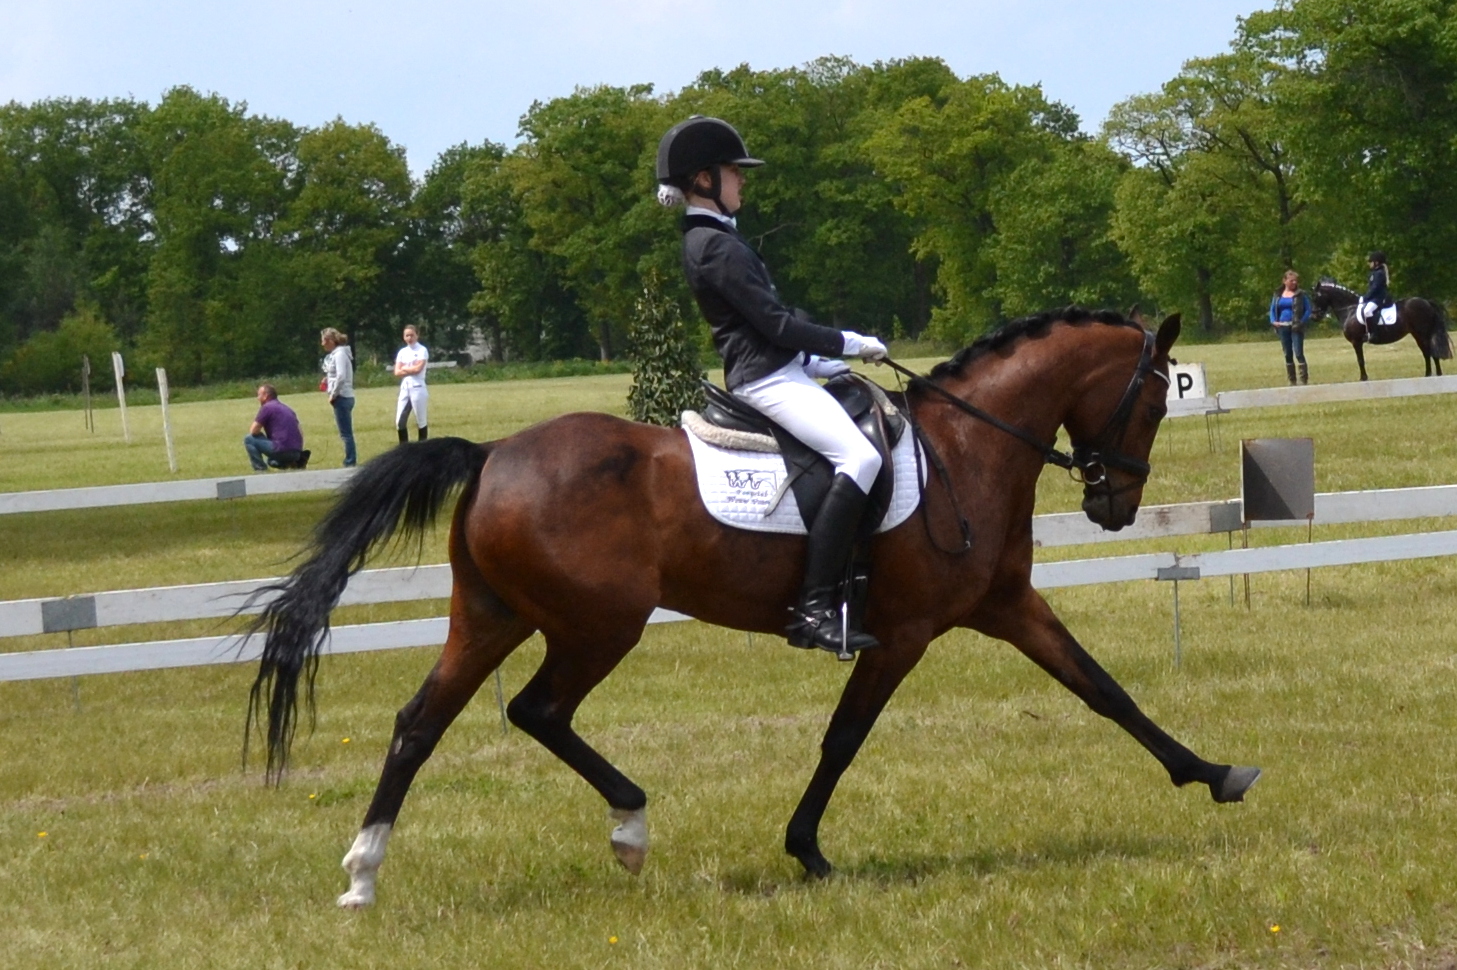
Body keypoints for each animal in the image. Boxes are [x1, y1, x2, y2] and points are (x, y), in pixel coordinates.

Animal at [246, 307, 1261, 909]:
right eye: (1151, 404)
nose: (1114, 506)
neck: (968, 448)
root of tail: (492, 453)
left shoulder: (1007, 605)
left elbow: (1104, 691)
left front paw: (1213, 774)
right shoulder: (902, 635)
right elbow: (843, 739)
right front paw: (808, 851)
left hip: (493, 615)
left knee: (420, 722)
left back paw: (364, 874)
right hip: (596, 624)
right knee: (538, 711)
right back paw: (628, 826)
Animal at [1309, 277, 1452, 381]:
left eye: (1316, 297)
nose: (1314, 316)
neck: (1349, 311)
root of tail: (1426, 302)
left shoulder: (1356, 342)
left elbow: (1360, 360)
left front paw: (1363, 378)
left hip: (1422, 333)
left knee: (1430, 352)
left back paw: (1435, 374)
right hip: (1418, 334)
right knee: (1427, 353)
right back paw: (1430, 374)